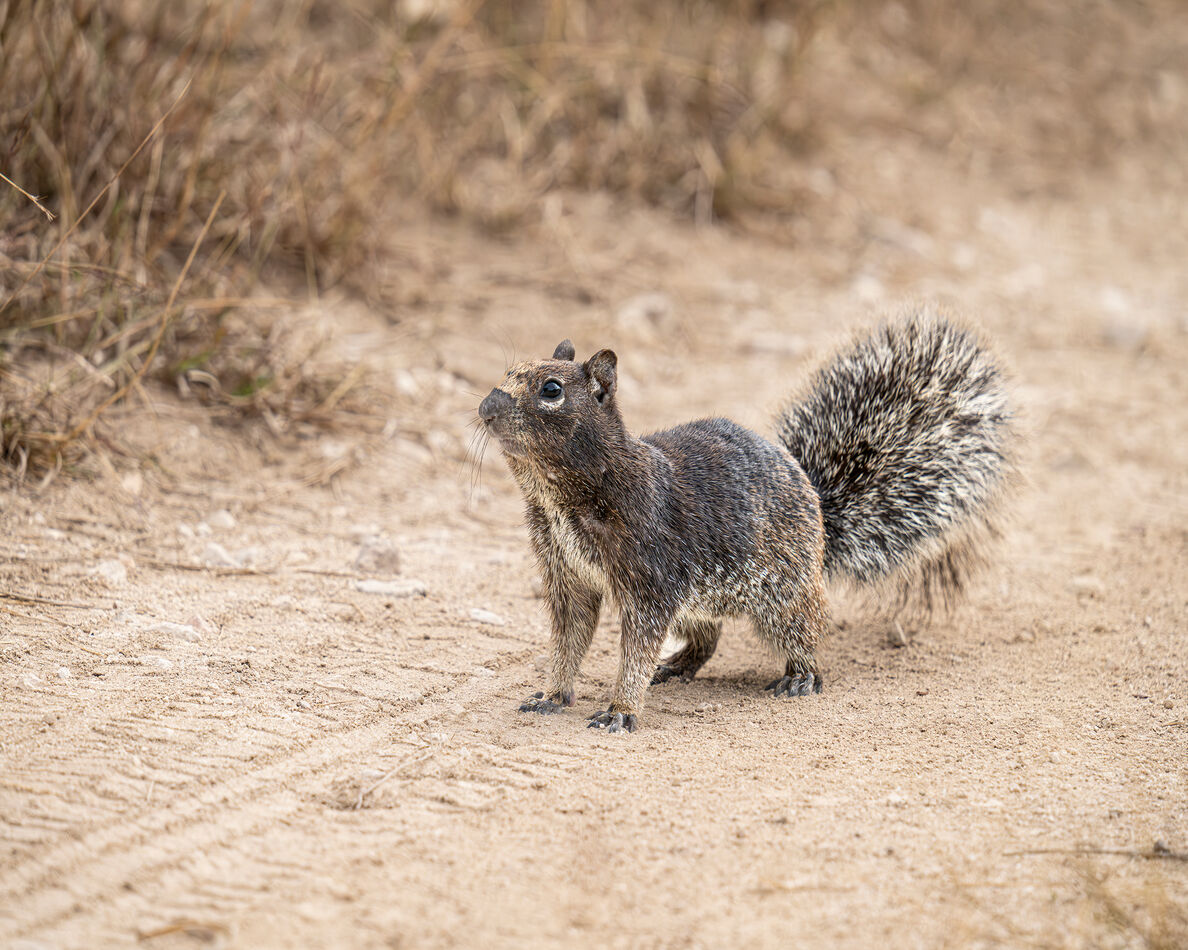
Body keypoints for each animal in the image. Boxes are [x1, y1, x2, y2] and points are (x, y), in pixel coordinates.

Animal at [478, 309, 1017, 733]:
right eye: (507, 370)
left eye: (552, 390)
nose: (486, 406)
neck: (559, 499)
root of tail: (819, 511)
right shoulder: (567, 577)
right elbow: (568, 641)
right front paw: (551, 696)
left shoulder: (649, 578)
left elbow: (635, 647)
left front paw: (620, 710)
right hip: (699, 600)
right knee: (708, 637)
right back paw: (675, 666)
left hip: (783, 594)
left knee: (805, 635)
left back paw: (799, 677)